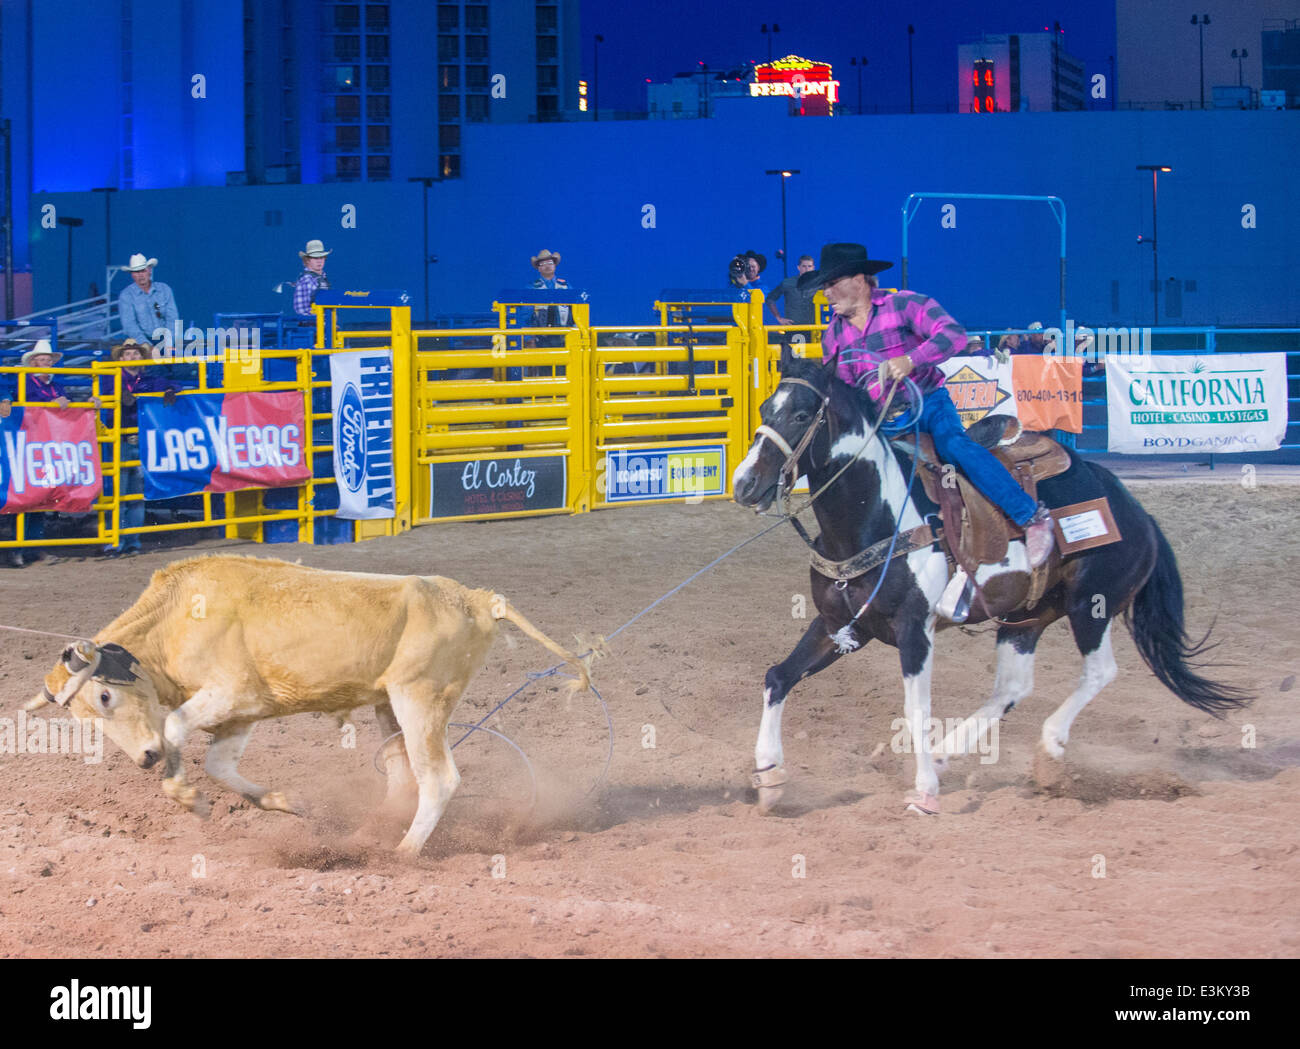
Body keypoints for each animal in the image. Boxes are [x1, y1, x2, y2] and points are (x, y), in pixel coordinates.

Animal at [25, 555, 593, 856]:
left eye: (105, 694)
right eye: (86, 721)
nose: (142, 759)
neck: (176, 617)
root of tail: (476, 598)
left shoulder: (233, 692)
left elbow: (177, 729)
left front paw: (185, 794)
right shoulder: (240, 716)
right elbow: (220, 765)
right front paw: (286, 803)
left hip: (421, 699)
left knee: (438, 779)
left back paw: (402, 853)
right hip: (389, 704)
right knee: (401, 774)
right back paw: (367, 833)